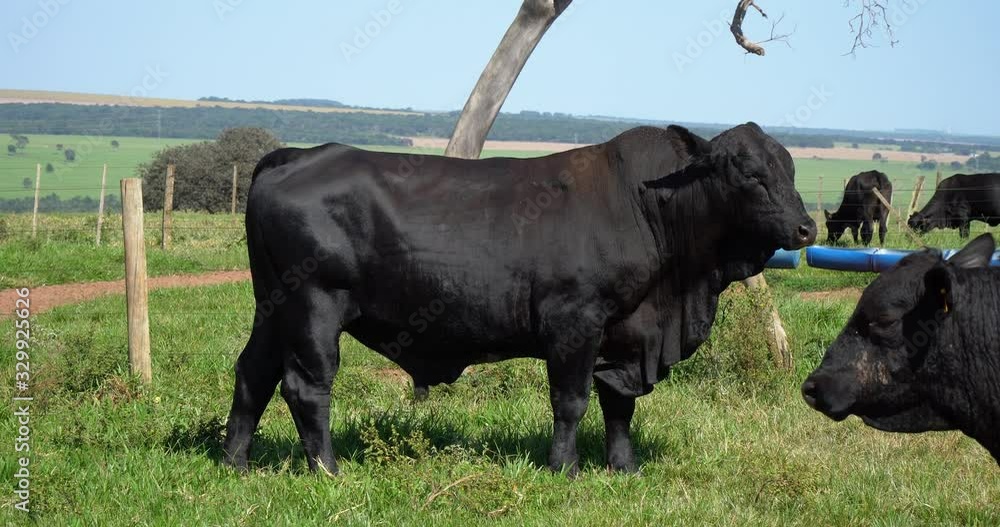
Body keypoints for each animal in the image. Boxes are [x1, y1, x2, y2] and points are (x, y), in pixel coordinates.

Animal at [222, 123, 816, 476]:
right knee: (306, 387)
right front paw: (565, 470)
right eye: (747, 173)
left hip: (273, 307)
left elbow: (618, 405)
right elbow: (571, 400)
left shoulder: (625, 332)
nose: (806, 226)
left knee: (253, 372)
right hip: (314, 307)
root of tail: (297, 156)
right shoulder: (575, 321)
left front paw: (623, 468)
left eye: (790, 168)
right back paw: (328, 471)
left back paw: (235, 463)